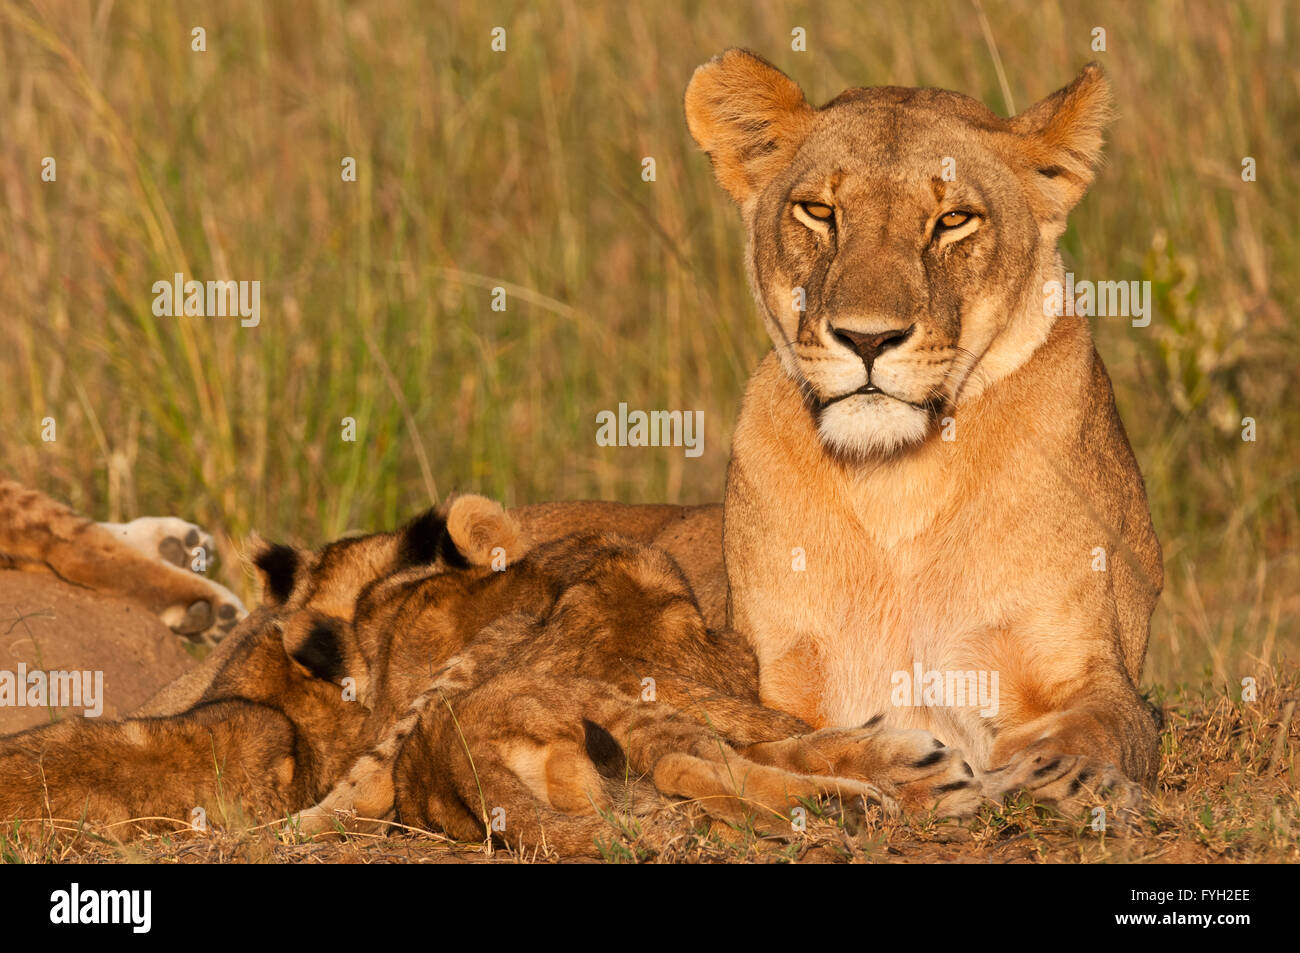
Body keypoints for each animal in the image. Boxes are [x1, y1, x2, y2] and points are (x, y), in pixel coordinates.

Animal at [684, 50, 1163, 818]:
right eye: (820, 211)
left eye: (953, 220)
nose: (866, 338)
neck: (897, 480)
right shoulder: (777, 682)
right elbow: (784, 739)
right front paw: (893, 765)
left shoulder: (1082, 662)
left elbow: (1103, 724)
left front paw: (1065, 777)